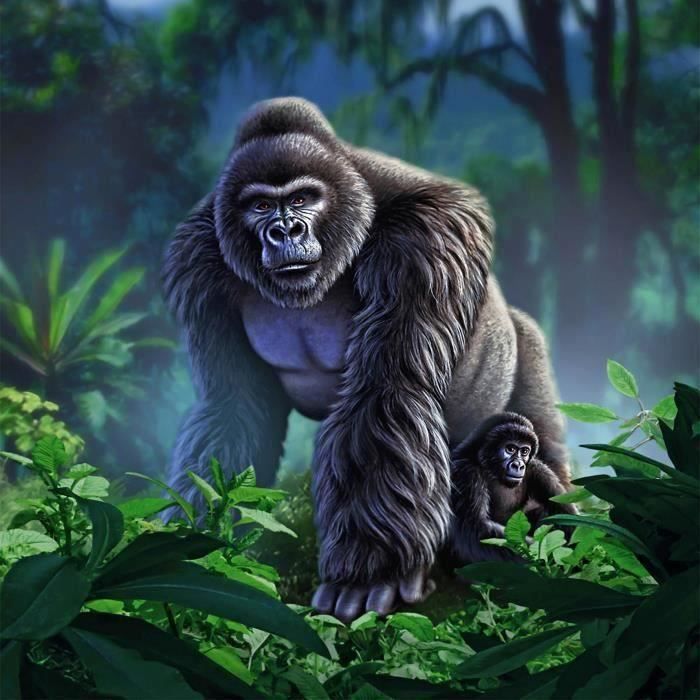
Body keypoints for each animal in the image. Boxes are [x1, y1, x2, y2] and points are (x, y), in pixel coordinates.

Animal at [448, 413, 577, 566]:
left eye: (525, 451)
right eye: (510, 449)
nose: (518, 465)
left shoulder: (537, 469)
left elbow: (568, 519)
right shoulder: (466, 472)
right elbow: (476, 530)